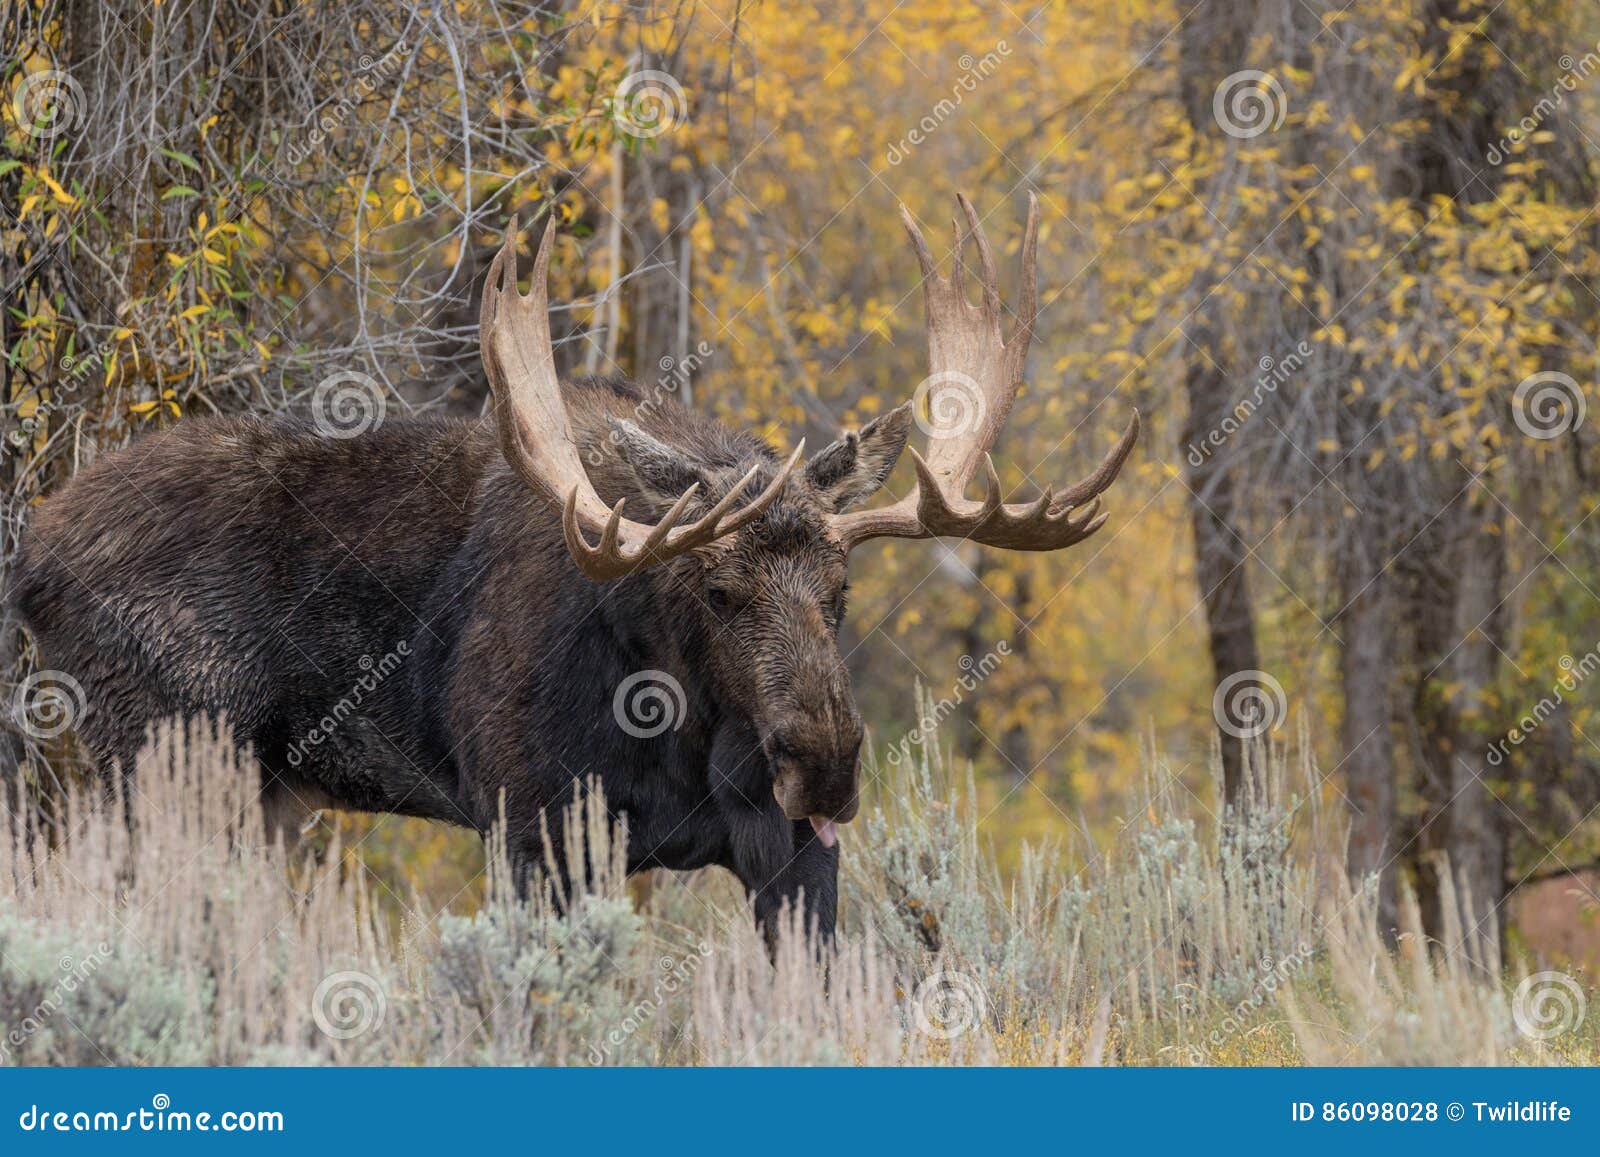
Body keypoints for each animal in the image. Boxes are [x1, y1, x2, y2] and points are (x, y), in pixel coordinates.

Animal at [13, 195, 1137, 944]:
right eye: (716, 591)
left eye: (842, 594)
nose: (822, 760)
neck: (684, 733)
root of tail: (28, 561)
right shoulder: (532, 827)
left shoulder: (794, 853)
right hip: (156, 766)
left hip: (261, 797)